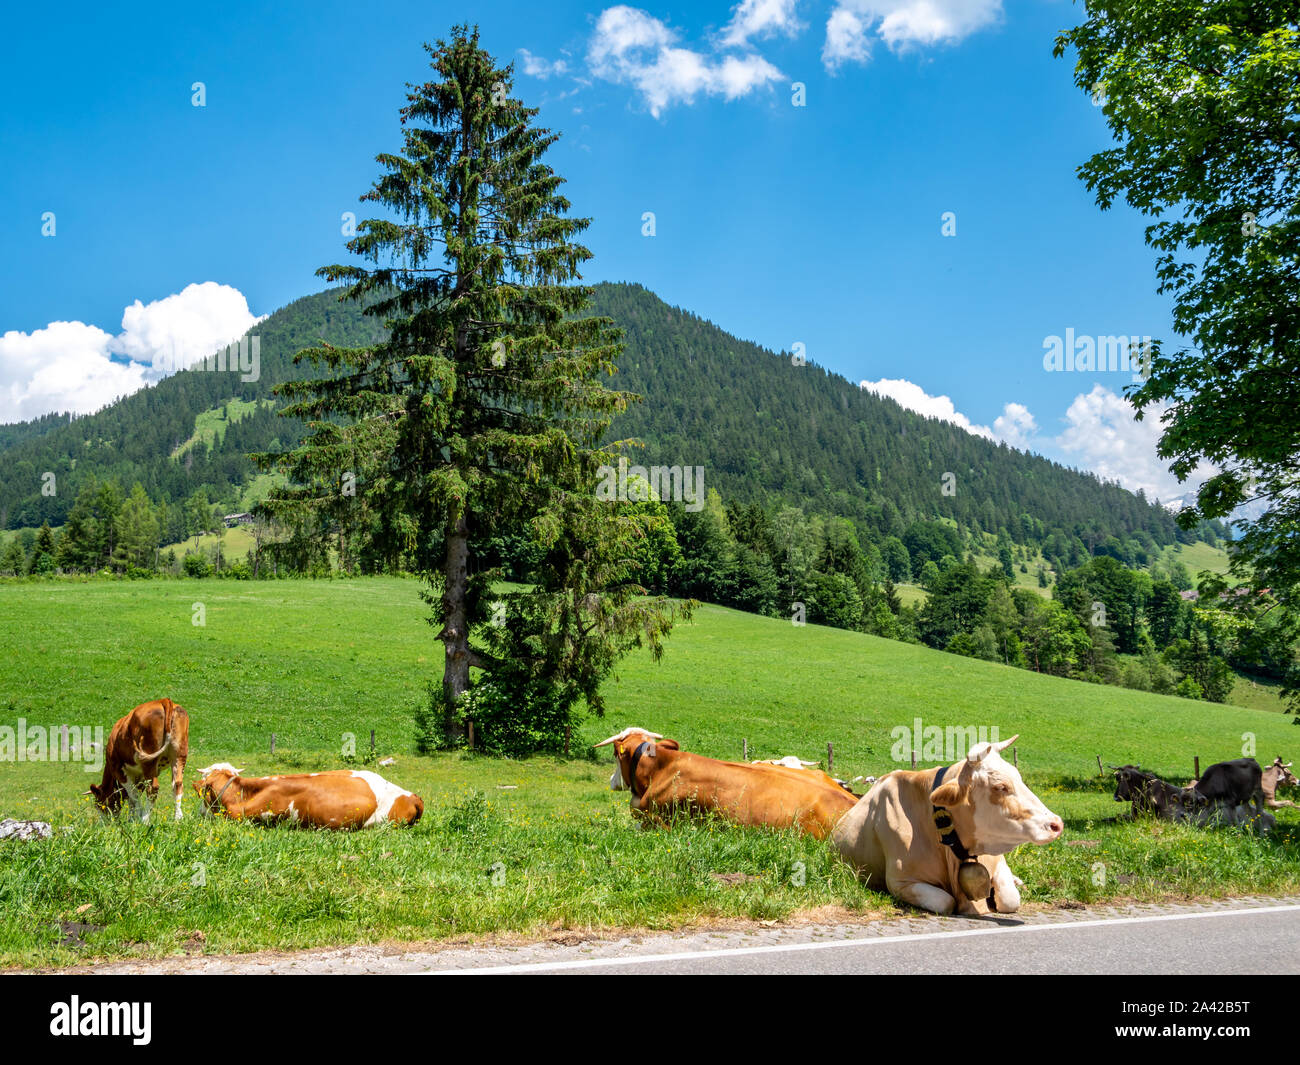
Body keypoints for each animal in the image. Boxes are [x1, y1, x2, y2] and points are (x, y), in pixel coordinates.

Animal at [831, 735, 1063, 916]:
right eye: (1001, 786)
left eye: (1019, 777)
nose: (1057, 824)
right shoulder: (900, 882)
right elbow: (945, 901)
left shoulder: (998, 862)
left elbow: (1010, 899)